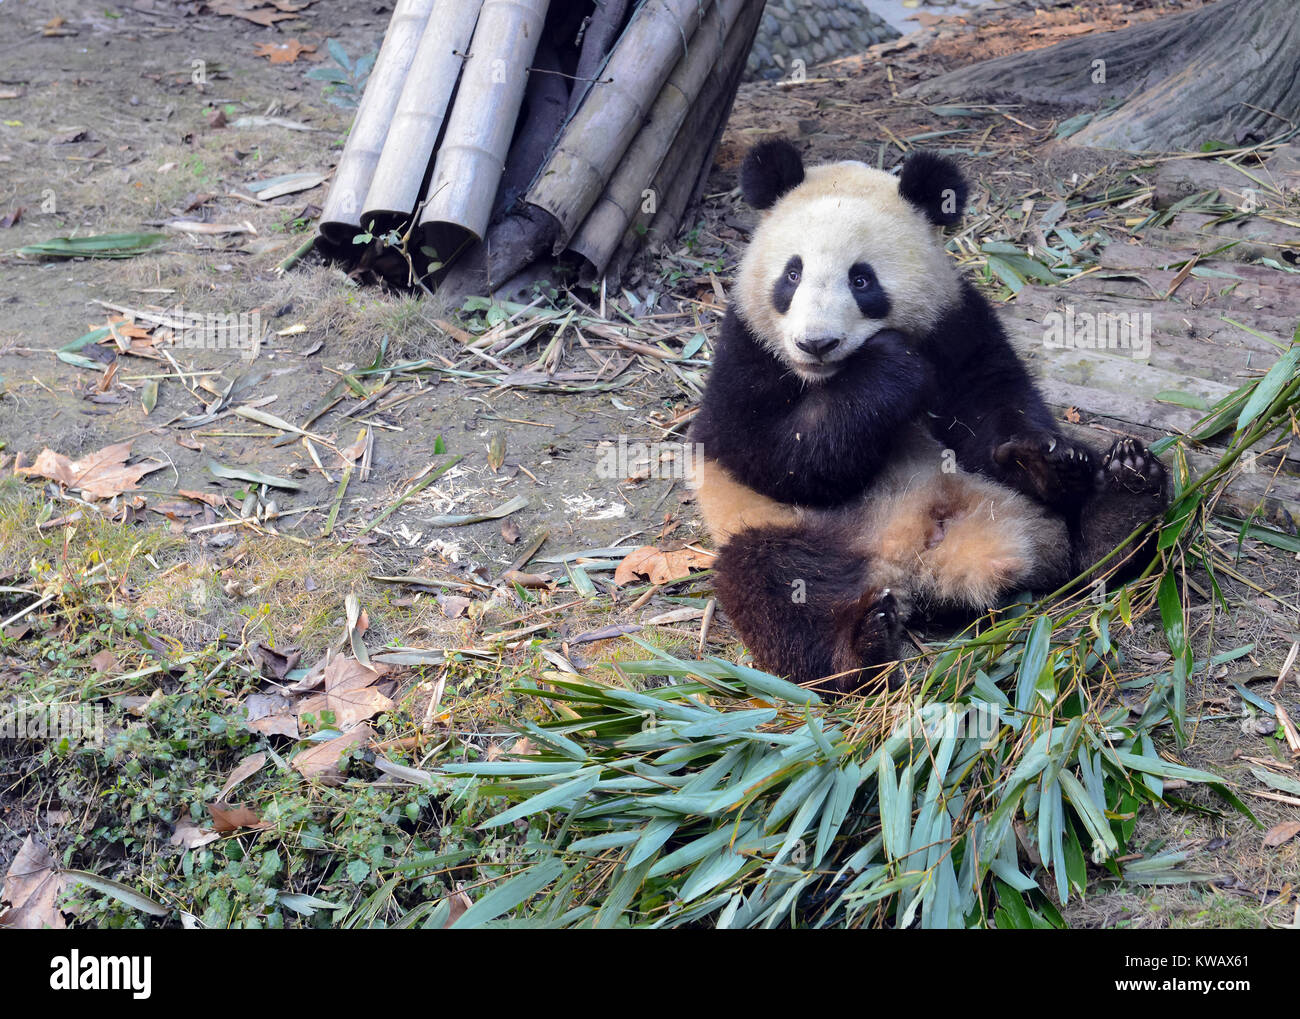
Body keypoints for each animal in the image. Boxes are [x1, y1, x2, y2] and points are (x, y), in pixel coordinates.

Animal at [689, 139, 1169, 694]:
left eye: (862, 279)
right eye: (793, 273)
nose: (816, 343)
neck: (827, 378)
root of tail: (919, 564)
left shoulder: (955, 319)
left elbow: (991, 406)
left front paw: (1042, 460)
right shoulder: (745, 347)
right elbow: (766, 453)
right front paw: (892, 367)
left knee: (1079, 525)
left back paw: (1121, 502)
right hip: (784, 530)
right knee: (774, 587)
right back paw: (860, 644)